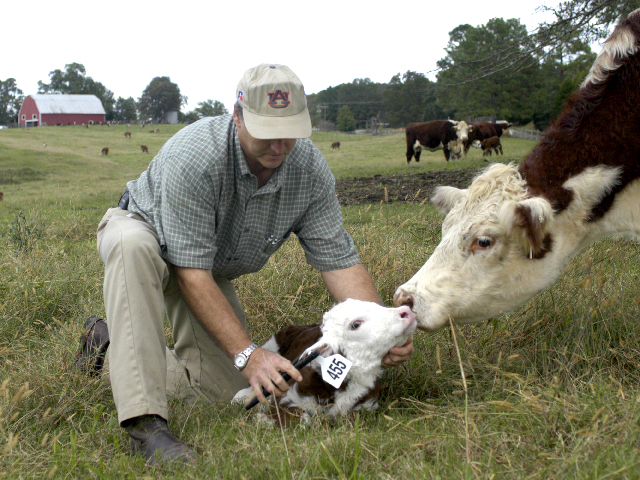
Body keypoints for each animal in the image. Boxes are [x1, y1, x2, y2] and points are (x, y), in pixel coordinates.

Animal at [232, 299, 416, 422]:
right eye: (356, 324)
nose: (406, 312)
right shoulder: (285, 392)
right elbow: (300, 418)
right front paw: (263, 417)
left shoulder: (367, 405)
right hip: (272, 346)